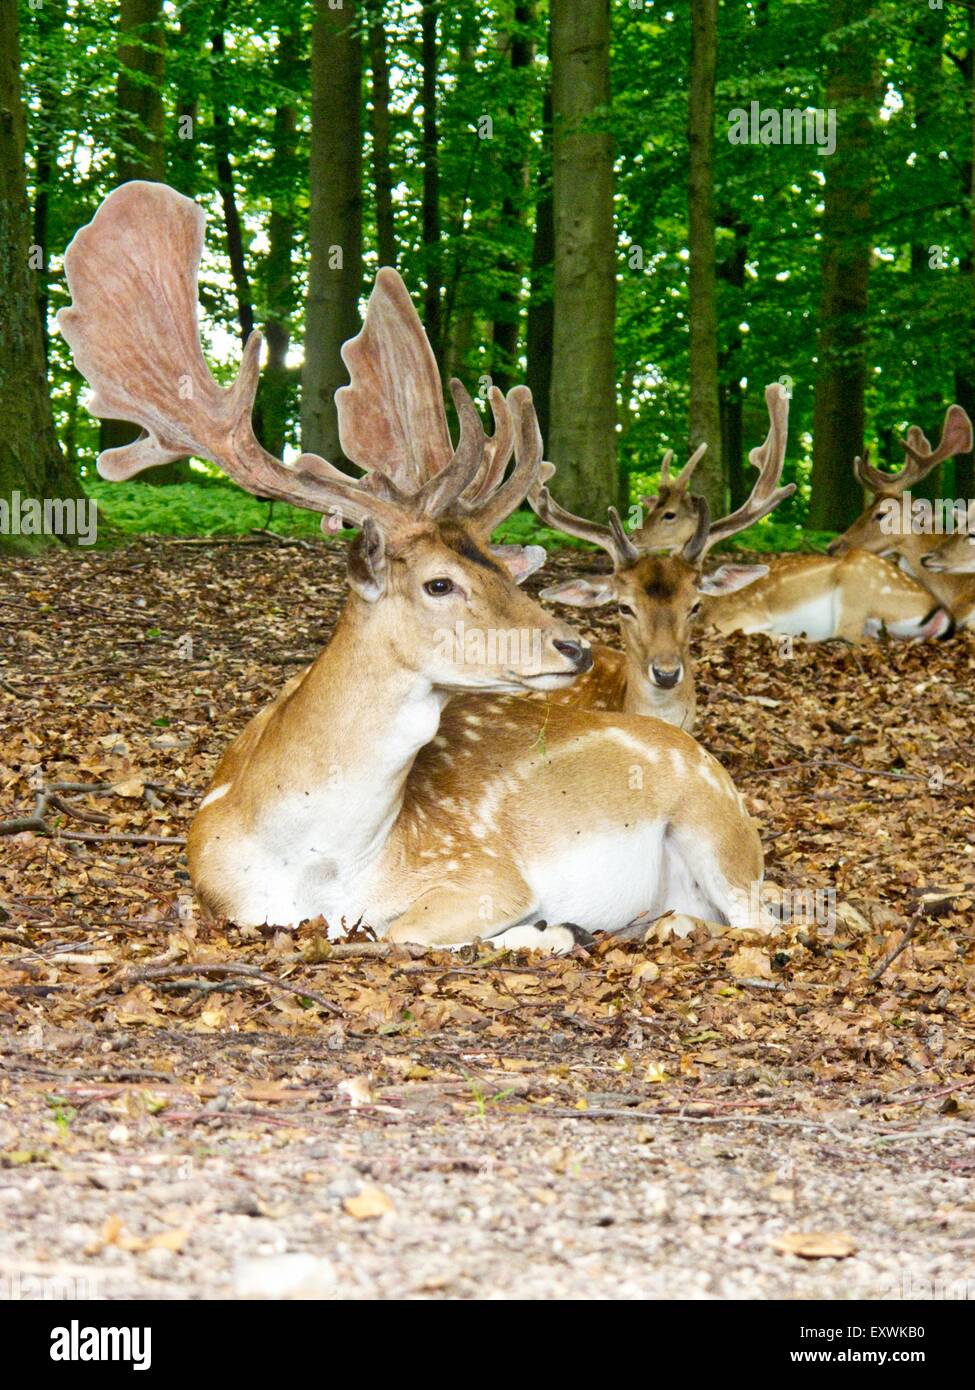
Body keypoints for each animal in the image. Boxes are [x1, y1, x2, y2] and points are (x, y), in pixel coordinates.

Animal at [631, 425, 955, 643]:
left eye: (668, 514)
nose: (634, 537)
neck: (713, 604)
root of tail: (939, 610)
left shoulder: (747, 615)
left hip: (857, 587)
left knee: (850, 635)